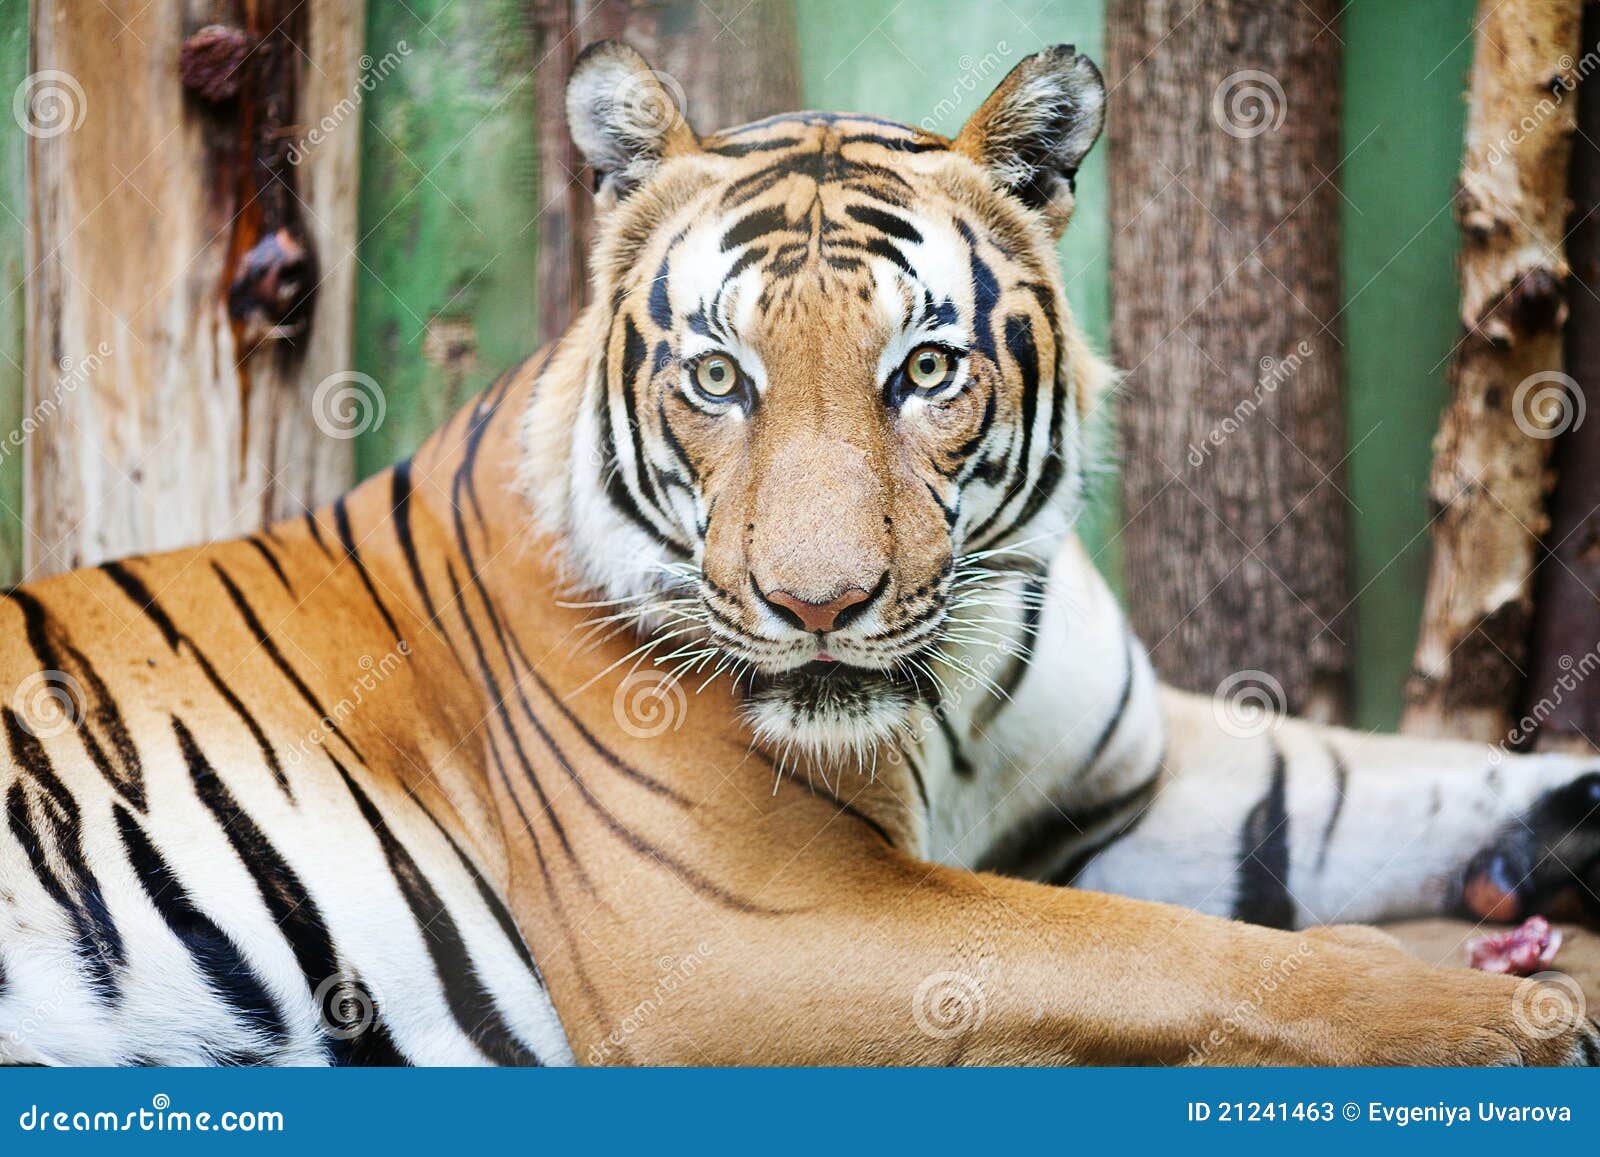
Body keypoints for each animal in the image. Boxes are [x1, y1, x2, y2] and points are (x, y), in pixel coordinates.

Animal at [2, 39, 1599, 1067]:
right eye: (720, 379)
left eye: (926, 368)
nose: (818, 605)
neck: (955, 708)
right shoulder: (739, 930)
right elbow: (1148, 946)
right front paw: (1500, 1015)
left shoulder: (1130, 783)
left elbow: (1353, 782)